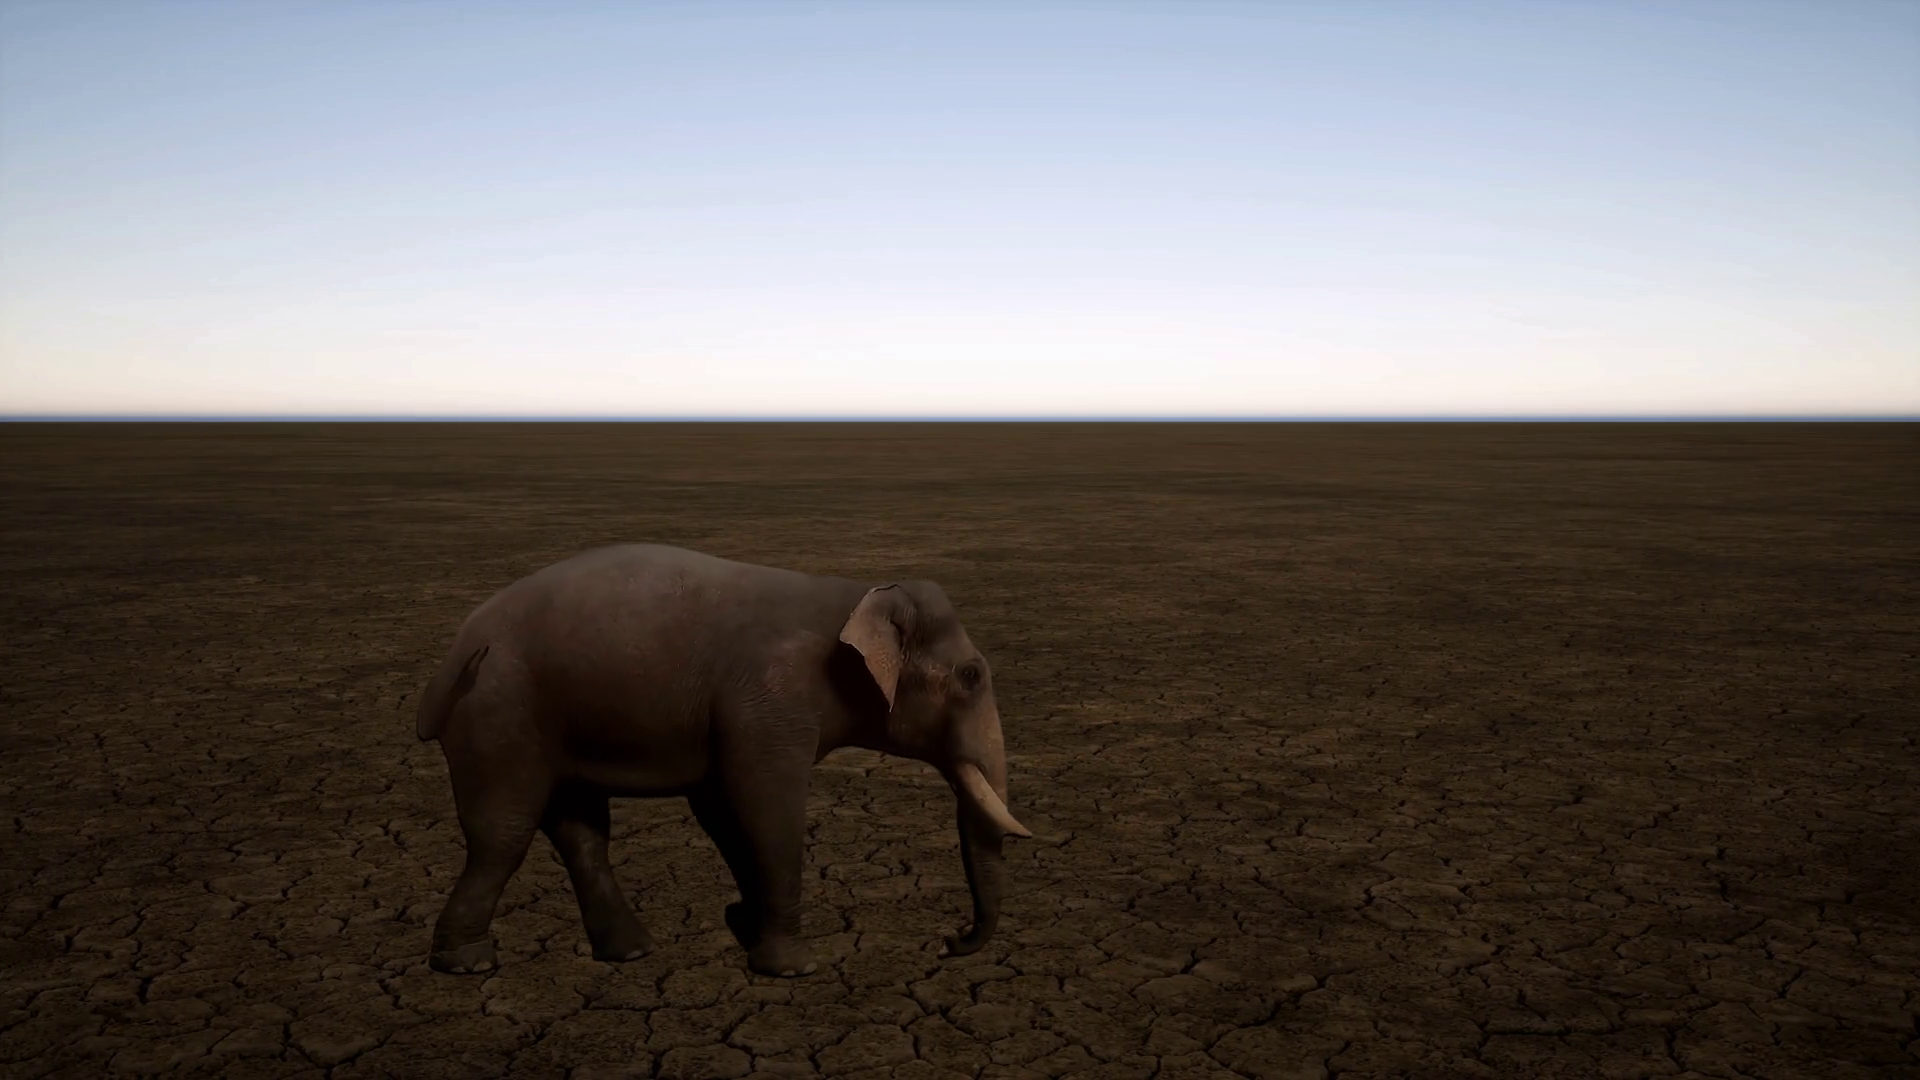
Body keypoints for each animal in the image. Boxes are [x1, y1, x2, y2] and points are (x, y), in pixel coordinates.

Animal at [411, 543, 1031, 978]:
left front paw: (744, 925)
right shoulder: (770, 698)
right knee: (505, 832)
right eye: (971, 676)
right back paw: (468, 963)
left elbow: (721, 808)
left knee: (580, 828)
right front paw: (793, 968)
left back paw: (630, 953)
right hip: (497, 709)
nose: (949, 941)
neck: (858, 596)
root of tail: (448, 661)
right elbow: (767, 805)